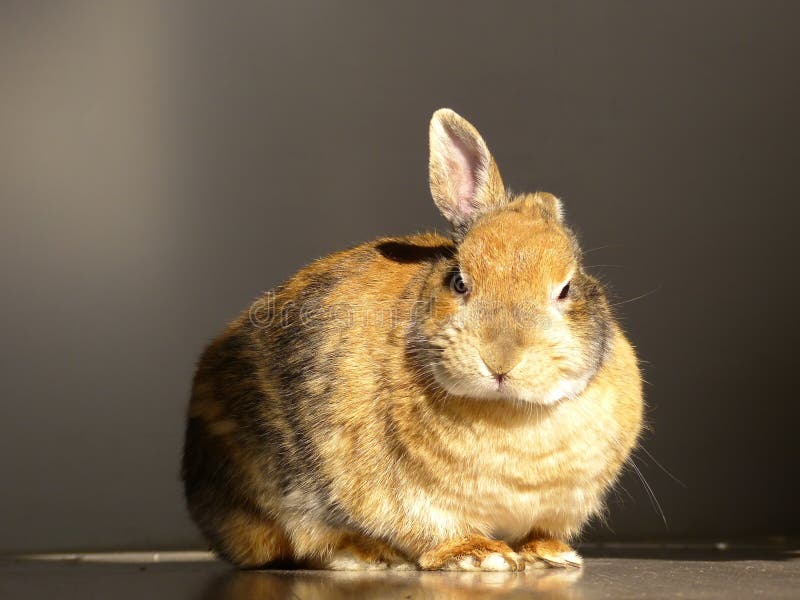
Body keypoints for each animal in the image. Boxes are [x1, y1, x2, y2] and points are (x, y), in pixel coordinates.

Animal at [181, 108, 643, 571]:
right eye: (458, 281)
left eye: (566, 288)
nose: (500, 360)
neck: (509, 410)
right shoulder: (415, 502)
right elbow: (436, 529)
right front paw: (478, 556)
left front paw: (550, 554)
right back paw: (368, 554)